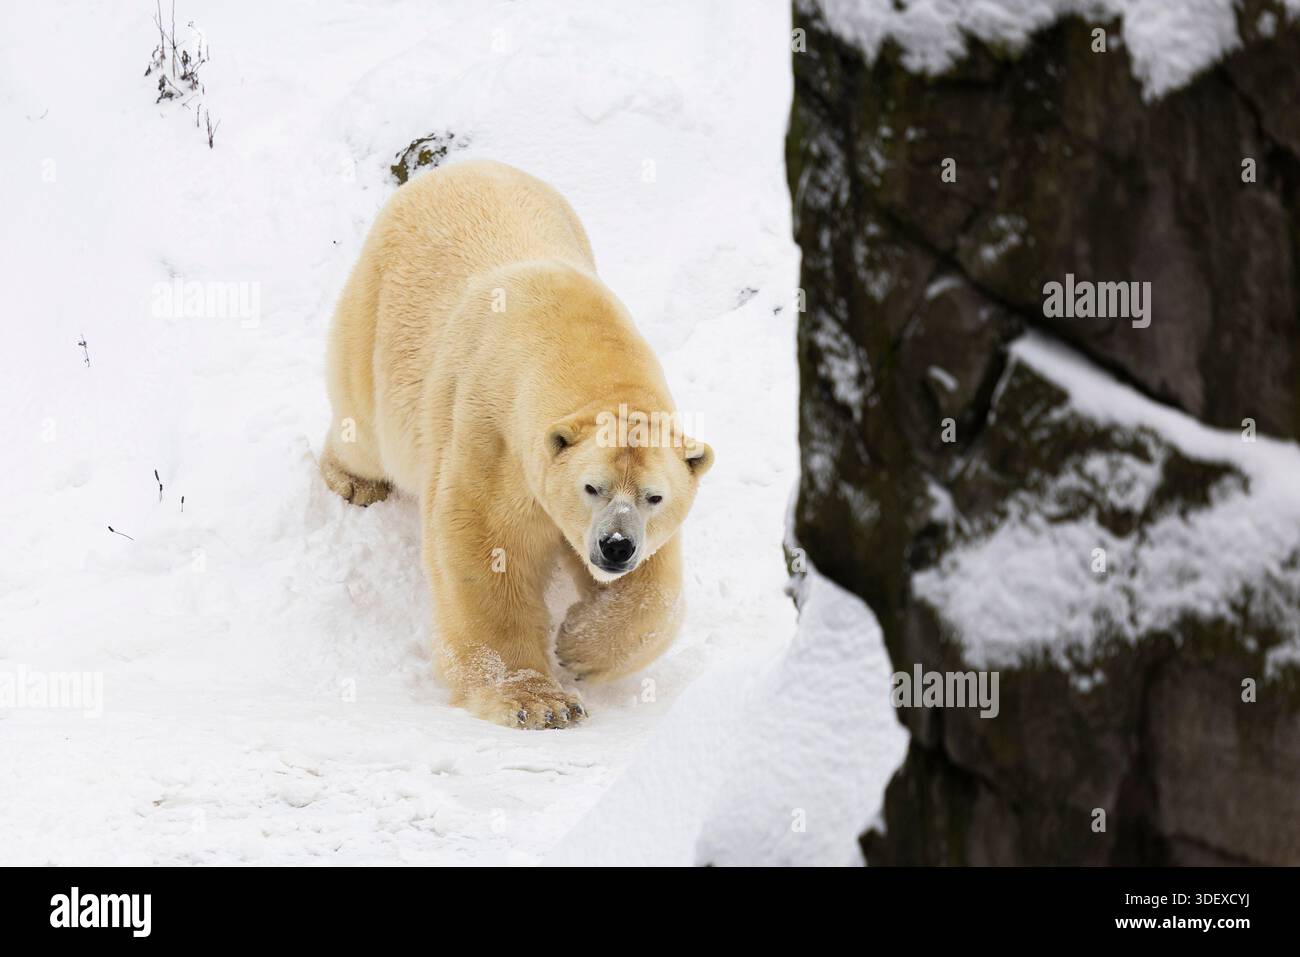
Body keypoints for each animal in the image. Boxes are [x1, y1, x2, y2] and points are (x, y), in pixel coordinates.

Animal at [320, 159, 713, 729]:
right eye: (591, 487)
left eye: (654, 497)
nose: (616, 547)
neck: (571, 338)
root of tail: (456, 168)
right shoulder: (490, 434)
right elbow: (485, 547)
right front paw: (538, 701)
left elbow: (654, 584)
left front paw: (579, 647)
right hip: (376, 323)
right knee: (363, 427)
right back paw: (354, 479)